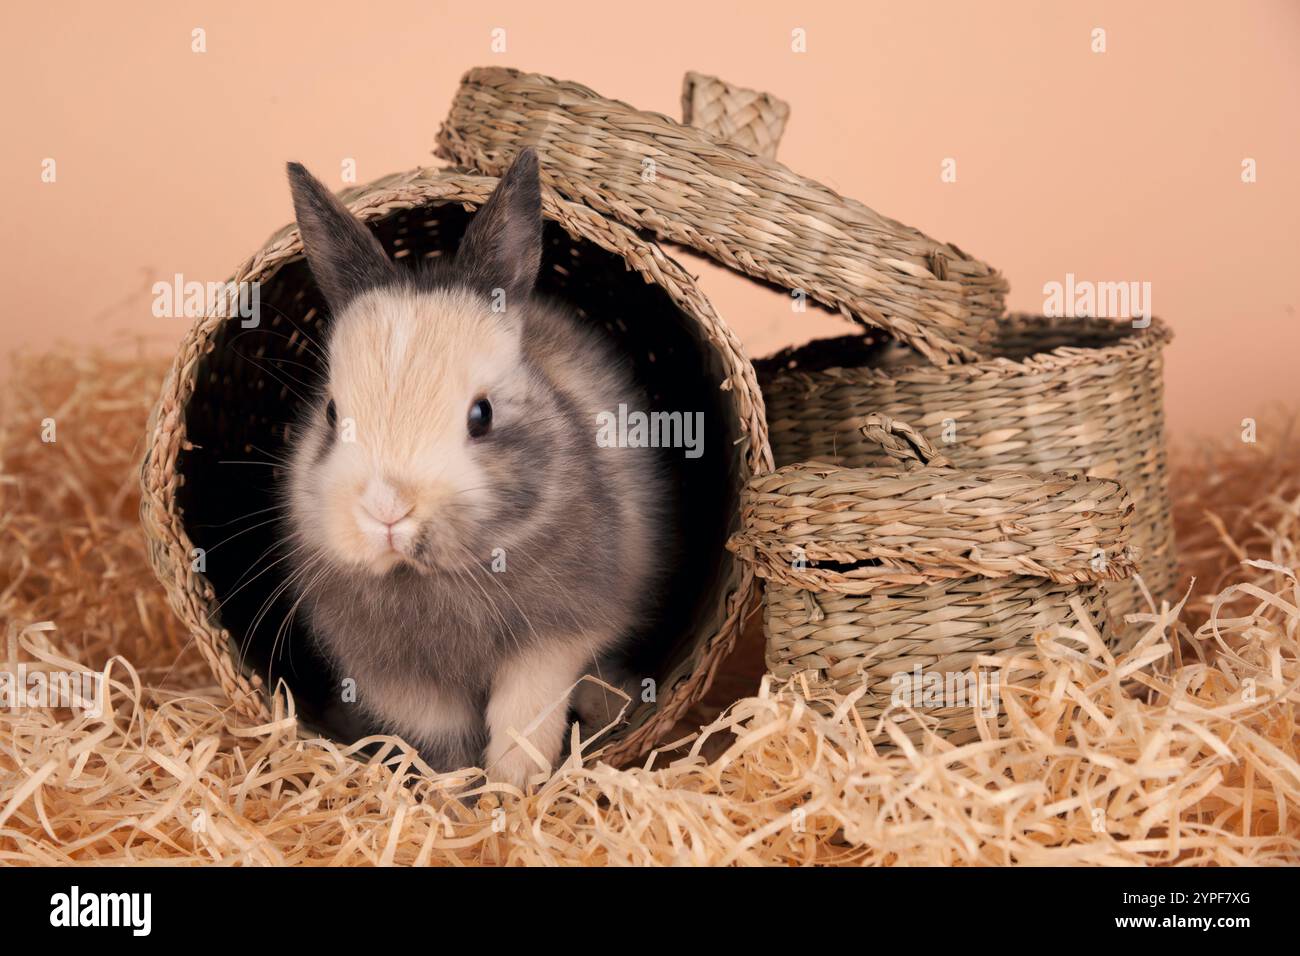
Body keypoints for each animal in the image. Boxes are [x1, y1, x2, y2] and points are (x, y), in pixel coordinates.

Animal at [280, 149, 668, 788]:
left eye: (481, 415)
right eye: (332, 414)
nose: (387, 509)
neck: (436, 578)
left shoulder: (555, 641)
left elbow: (524, 720)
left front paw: (513, 789)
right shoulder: (397, 677)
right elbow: (443, 741)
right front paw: (457, 792)